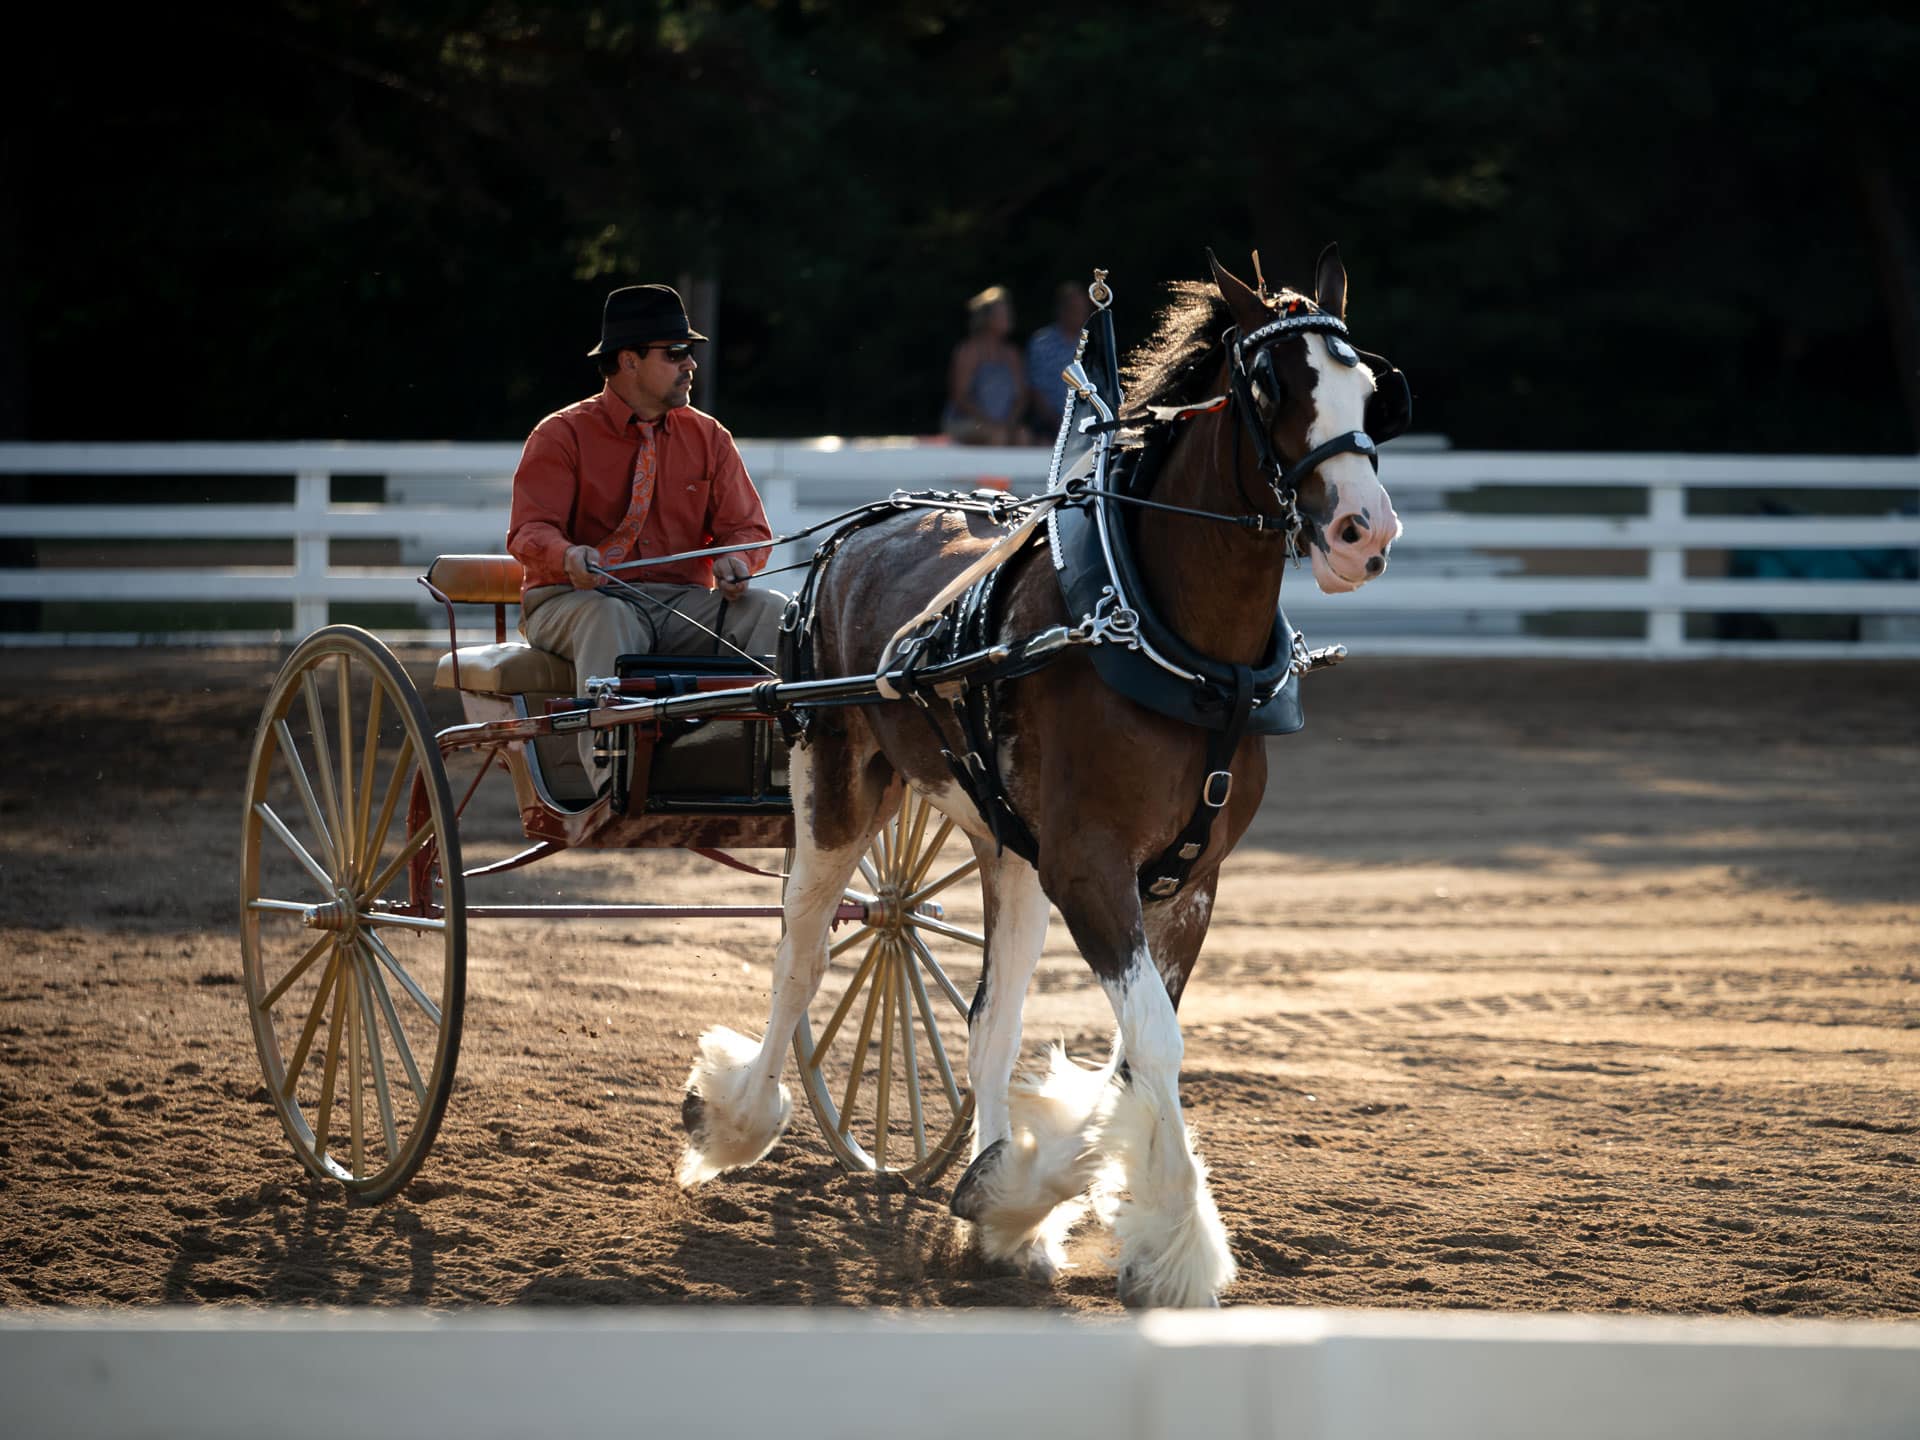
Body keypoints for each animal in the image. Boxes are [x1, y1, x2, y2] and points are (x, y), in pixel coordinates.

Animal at [677, 246, 1404, 1307]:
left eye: (1371, 390)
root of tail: (862, 530)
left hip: (1004, 846)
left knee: (989, 1019)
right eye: (1272, 386)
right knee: (801, 954)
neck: (1174, 644)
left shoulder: (1185, 882)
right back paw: (738, 1116)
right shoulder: (1089, 867)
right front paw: (1175, 1243)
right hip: (835, 785)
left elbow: (1136, 1056)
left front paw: (1017, 1189)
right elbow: (1154, 1046)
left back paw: (994, 1203)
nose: (1363, 531)